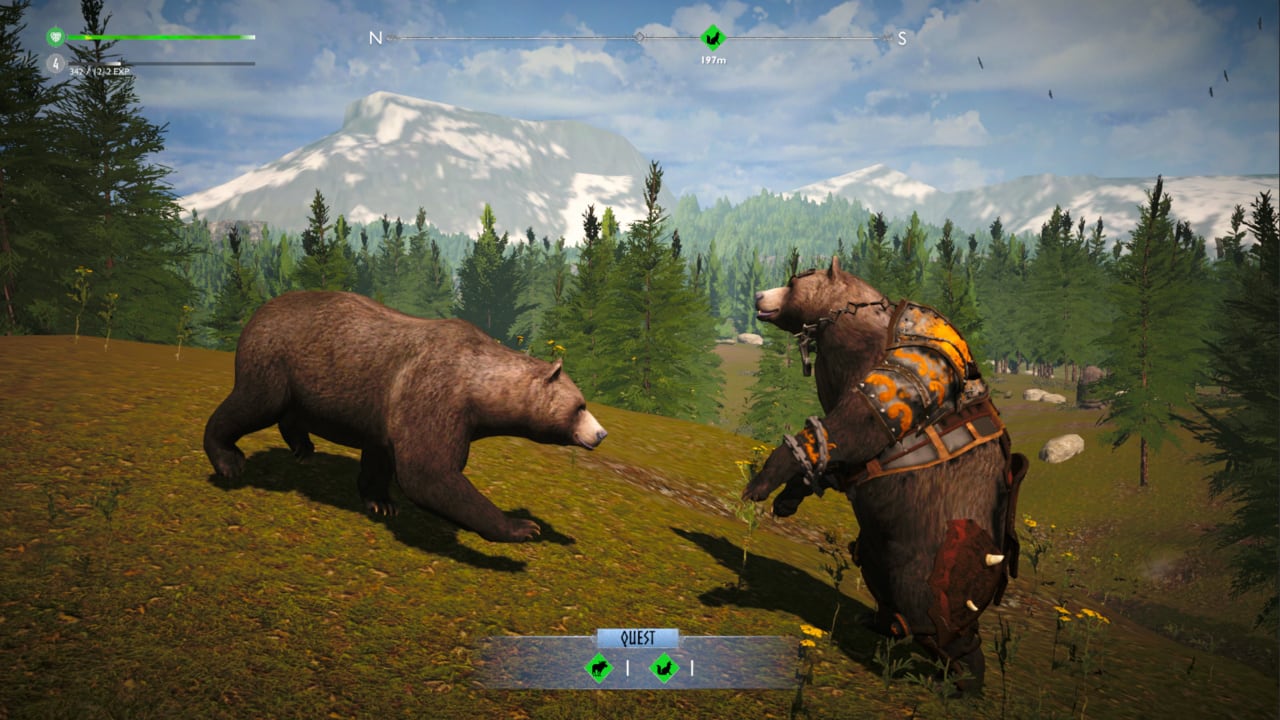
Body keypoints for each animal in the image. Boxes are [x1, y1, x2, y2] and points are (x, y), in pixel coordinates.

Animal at [203, 291, 608, 542]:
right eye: (580, 406)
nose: (601, 434)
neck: (480, 387)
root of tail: (260, 310)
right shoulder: (436, 396)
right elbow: (429, 473)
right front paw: (521, 526)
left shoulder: (391, 412)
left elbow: (381, 460)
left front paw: (380, 501)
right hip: (274, 361)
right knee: (250, 405)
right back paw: (228, 459)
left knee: (290, 413)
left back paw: (303, 446)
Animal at [742, 257, 1027, 693]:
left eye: (793, 281)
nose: (759, 294)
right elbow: (836, 454)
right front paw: (789, 496)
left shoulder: (903, 374)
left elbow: (857, 425)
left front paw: (761, 481)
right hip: (886, 542)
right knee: (879, 572)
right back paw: (881, 623)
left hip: (934, 552)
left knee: (933, 613)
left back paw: (959, 678)